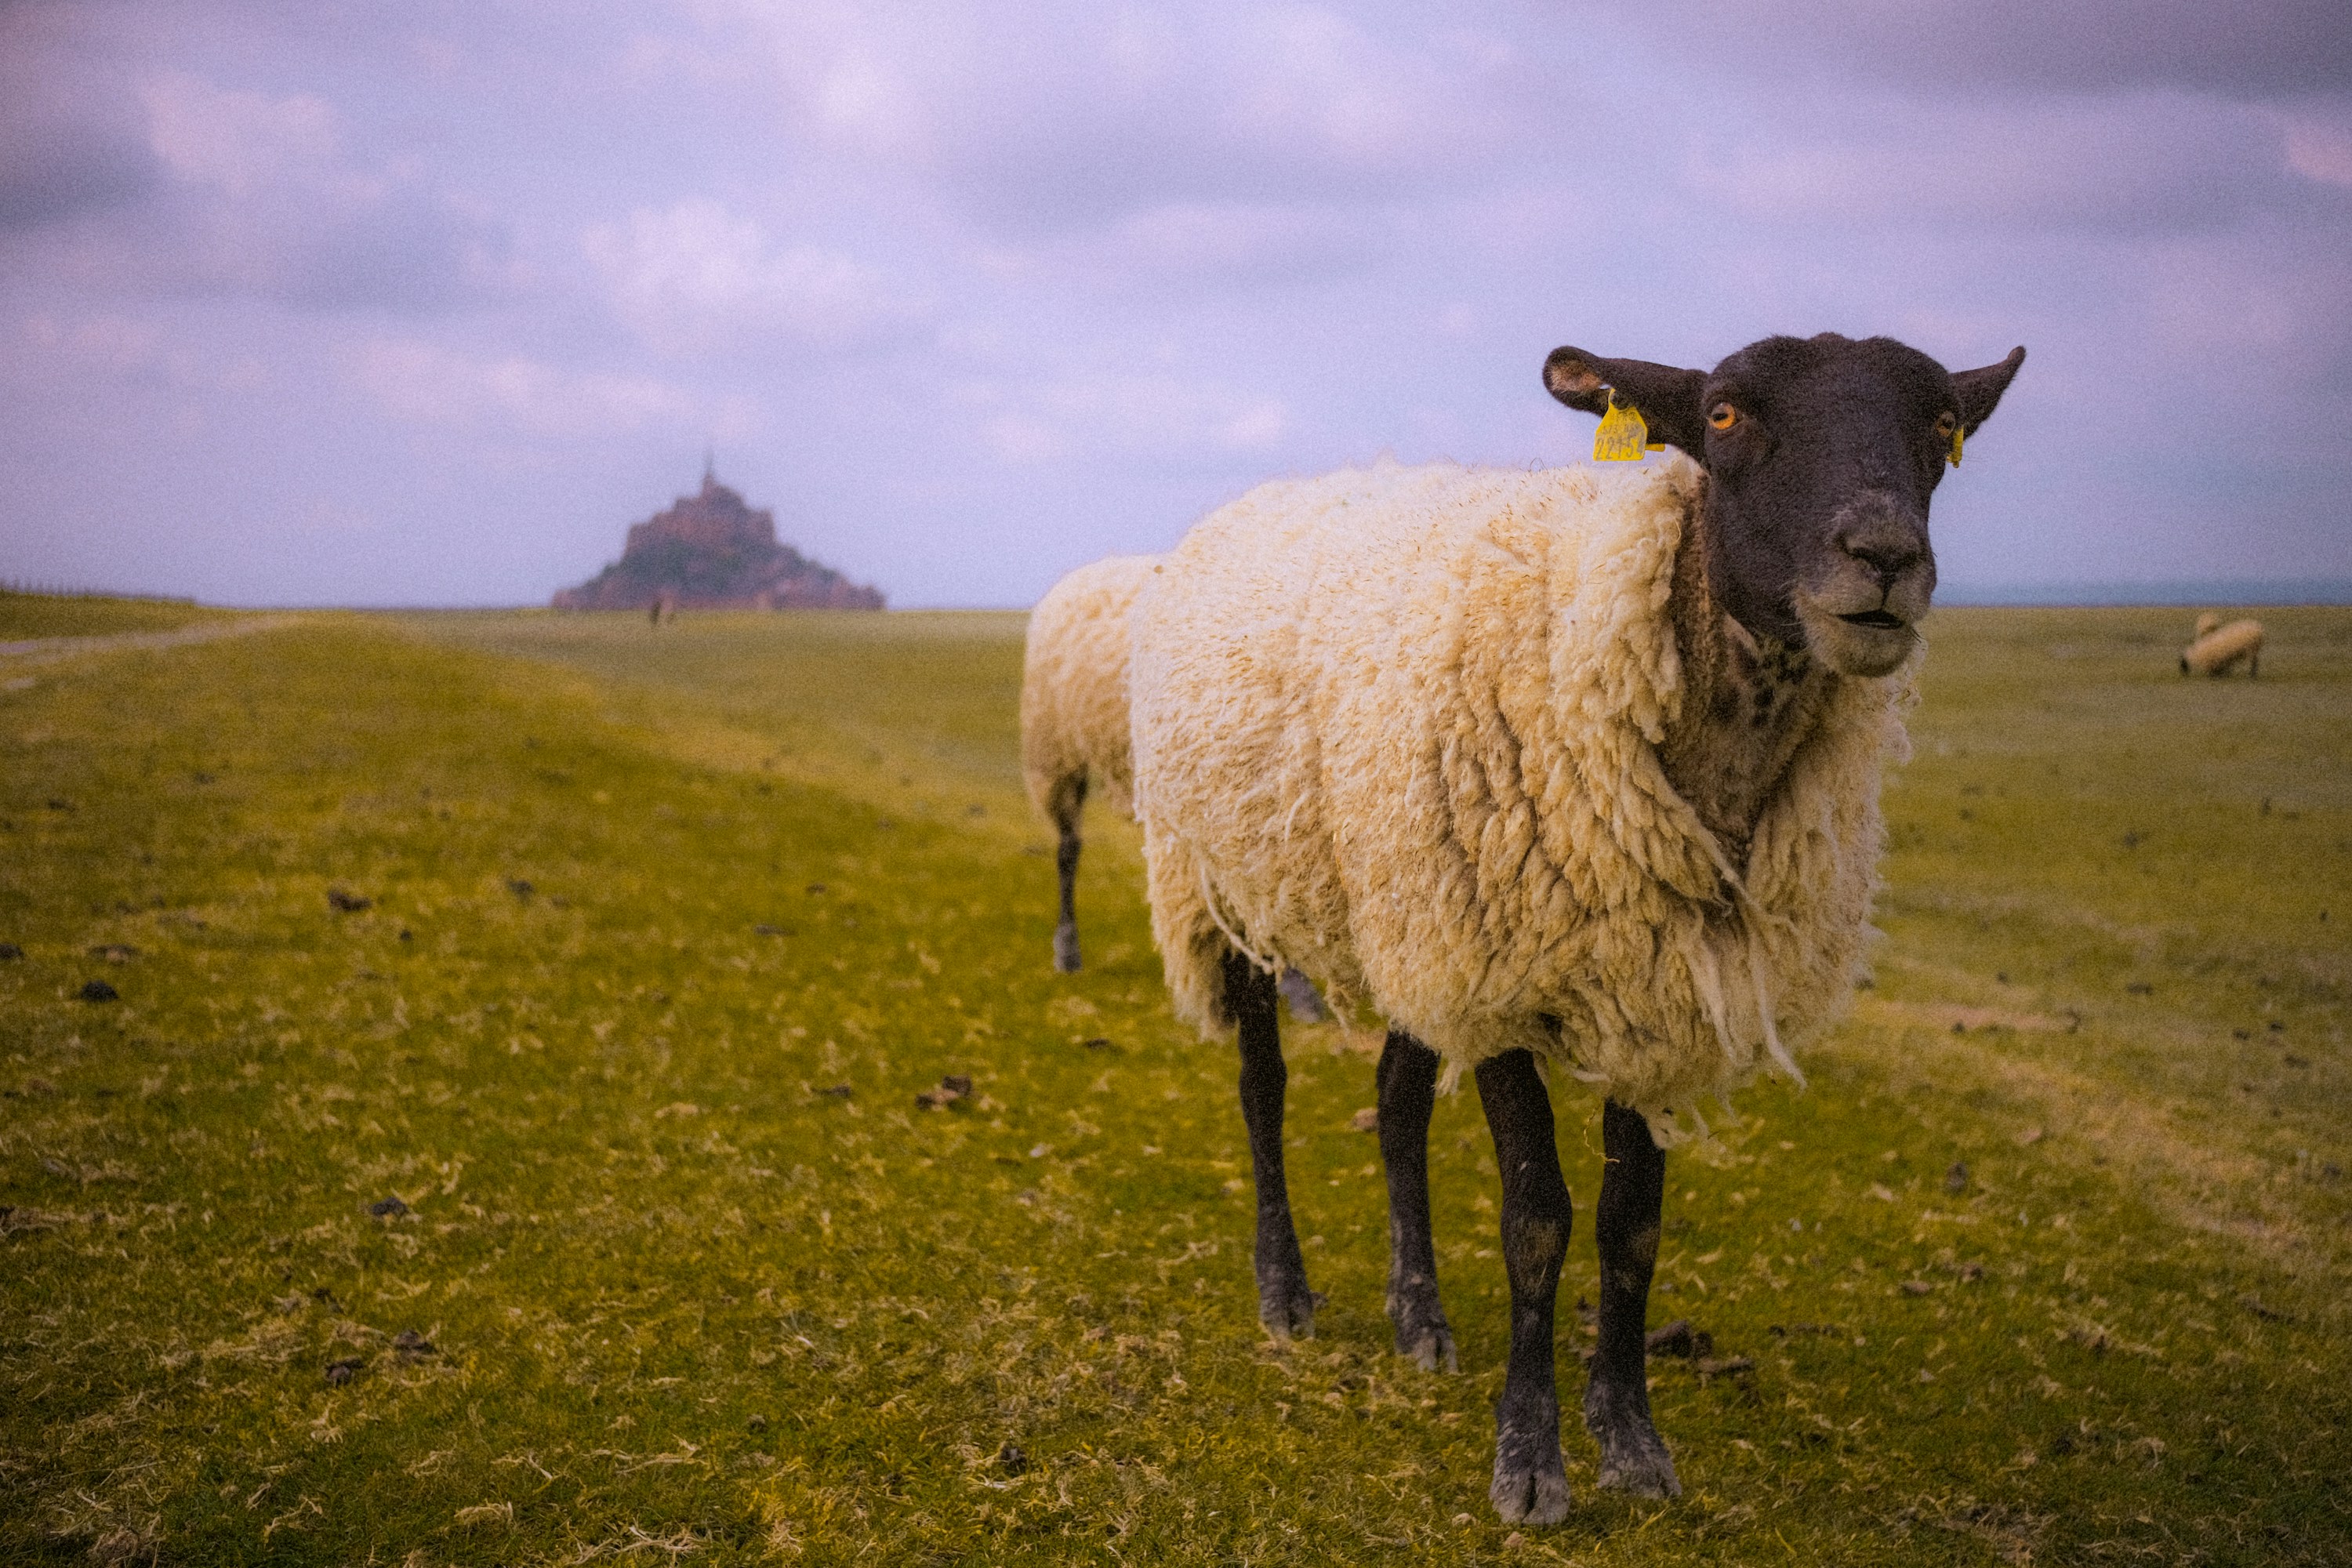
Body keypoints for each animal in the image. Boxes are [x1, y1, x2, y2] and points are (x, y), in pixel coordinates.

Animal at [1128, 331, 2025, 1524]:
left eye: (1942, 426)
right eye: (1725, 414)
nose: (1882, 556)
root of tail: (1245, 504)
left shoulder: (1653, 982)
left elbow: (1630, 1225)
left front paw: (1633, 1437)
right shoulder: (1509, 978)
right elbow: (1538, 1219)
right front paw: (1530, 1458)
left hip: (1408, 912)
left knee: (1396, 1101)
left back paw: (1419, 1314)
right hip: (1231, 886)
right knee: (1262, 1087)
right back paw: (1286, 1290)